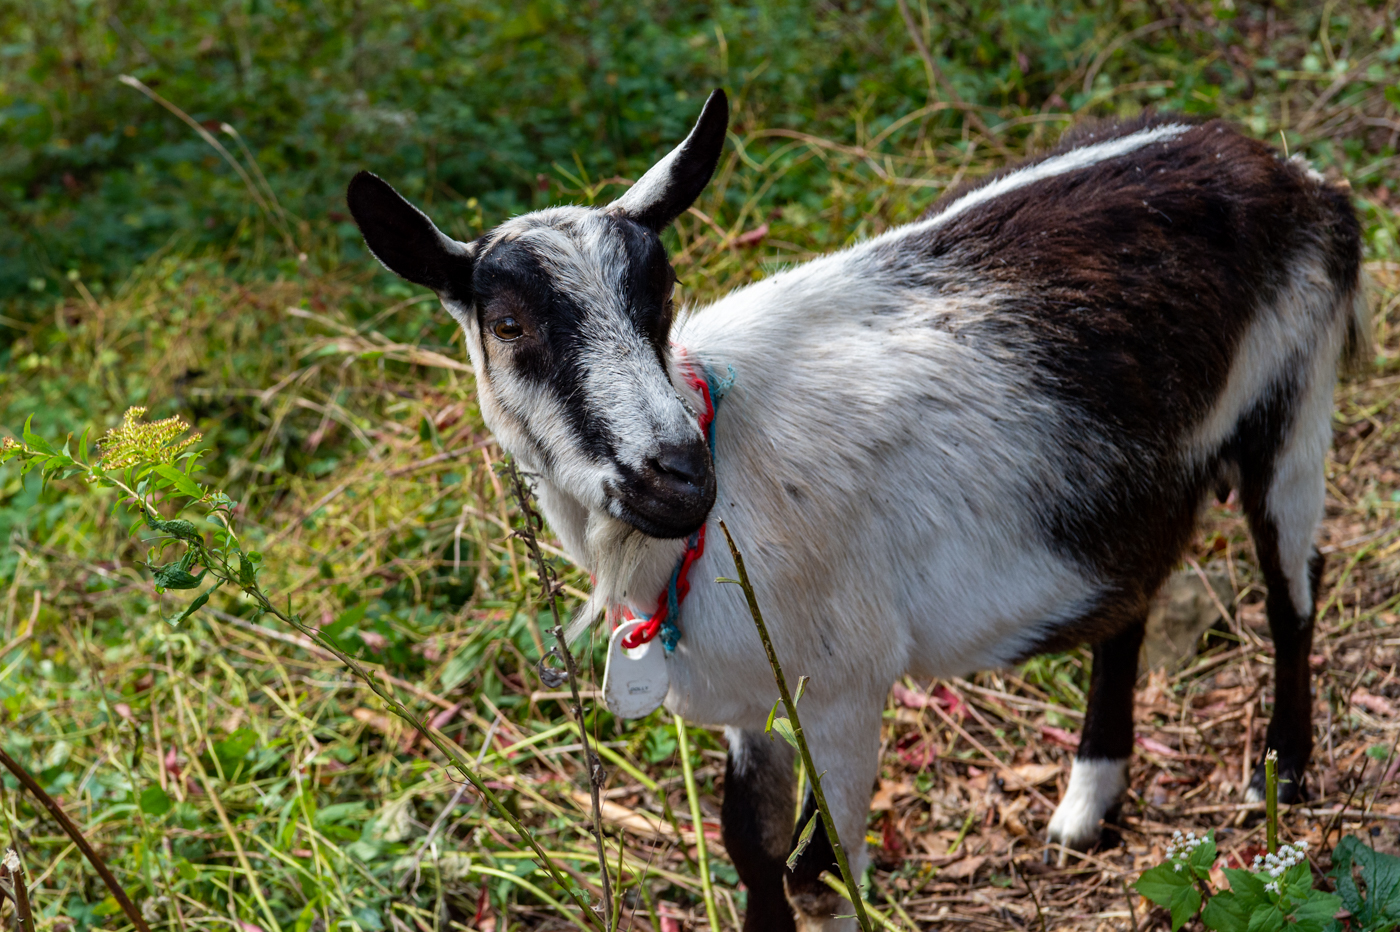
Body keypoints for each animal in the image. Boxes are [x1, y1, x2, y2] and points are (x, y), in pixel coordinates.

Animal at [347, 90, 1365, 932]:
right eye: (508, 325)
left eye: (659, 296)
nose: (676, 478)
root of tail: (1289, 173)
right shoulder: (751, 703)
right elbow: (755, 858)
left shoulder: (842, 686)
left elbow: (821, 876)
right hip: (1128, 484)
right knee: (1135, 592)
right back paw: (1087, 803)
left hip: (1294, 394)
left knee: (1292, 580)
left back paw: (1282, 772)